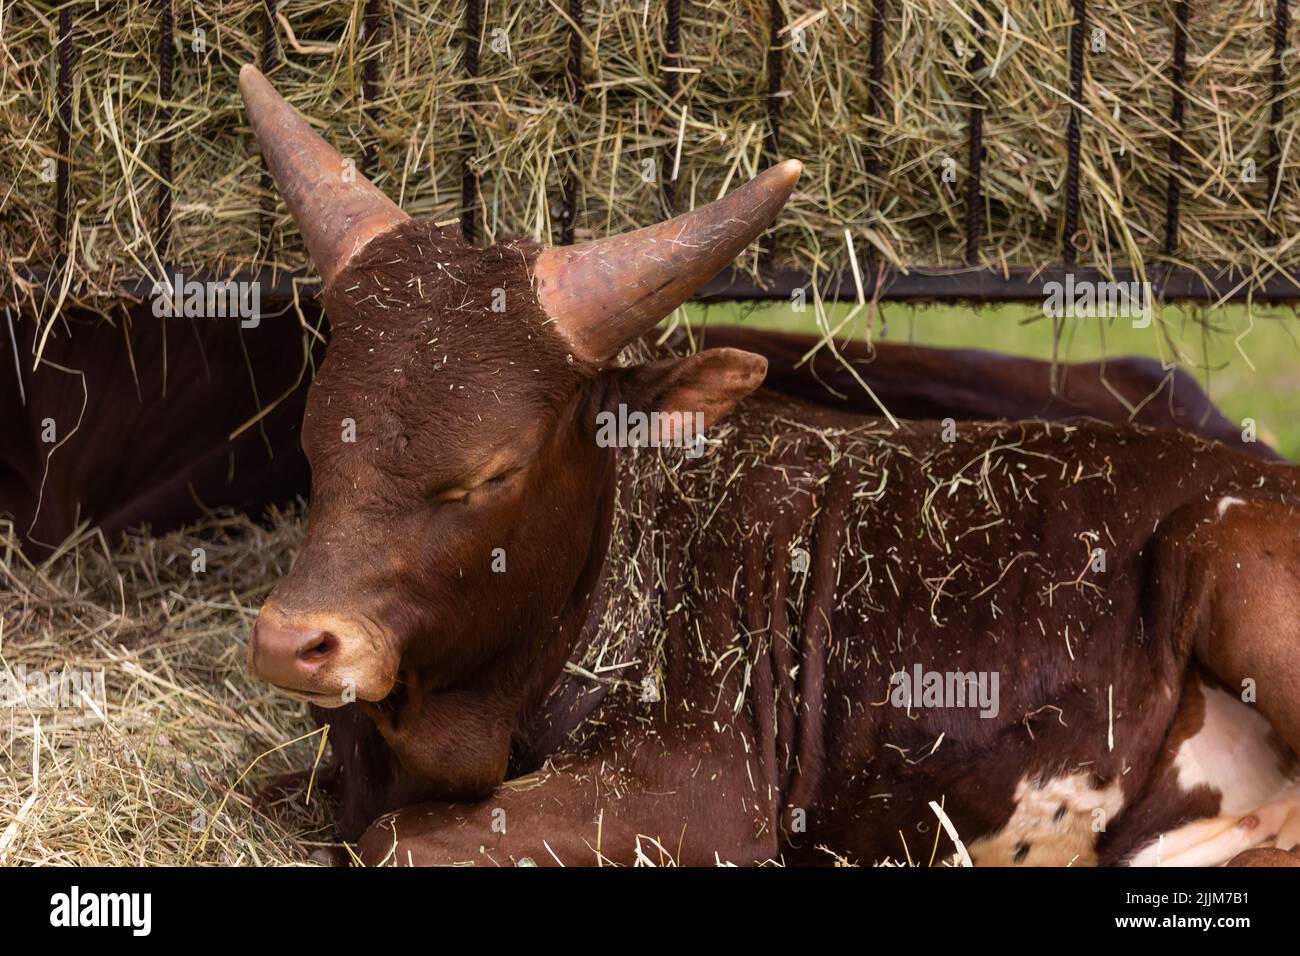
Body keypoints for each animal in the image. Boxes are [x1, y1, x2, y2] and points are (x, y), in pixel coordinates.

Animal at [232, 63, 1300, 867]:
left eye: (494, 471)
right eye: (317, 438)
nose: (293, 644)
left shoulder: (688, 797)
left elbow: (391, 842)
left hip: (1234, 559)